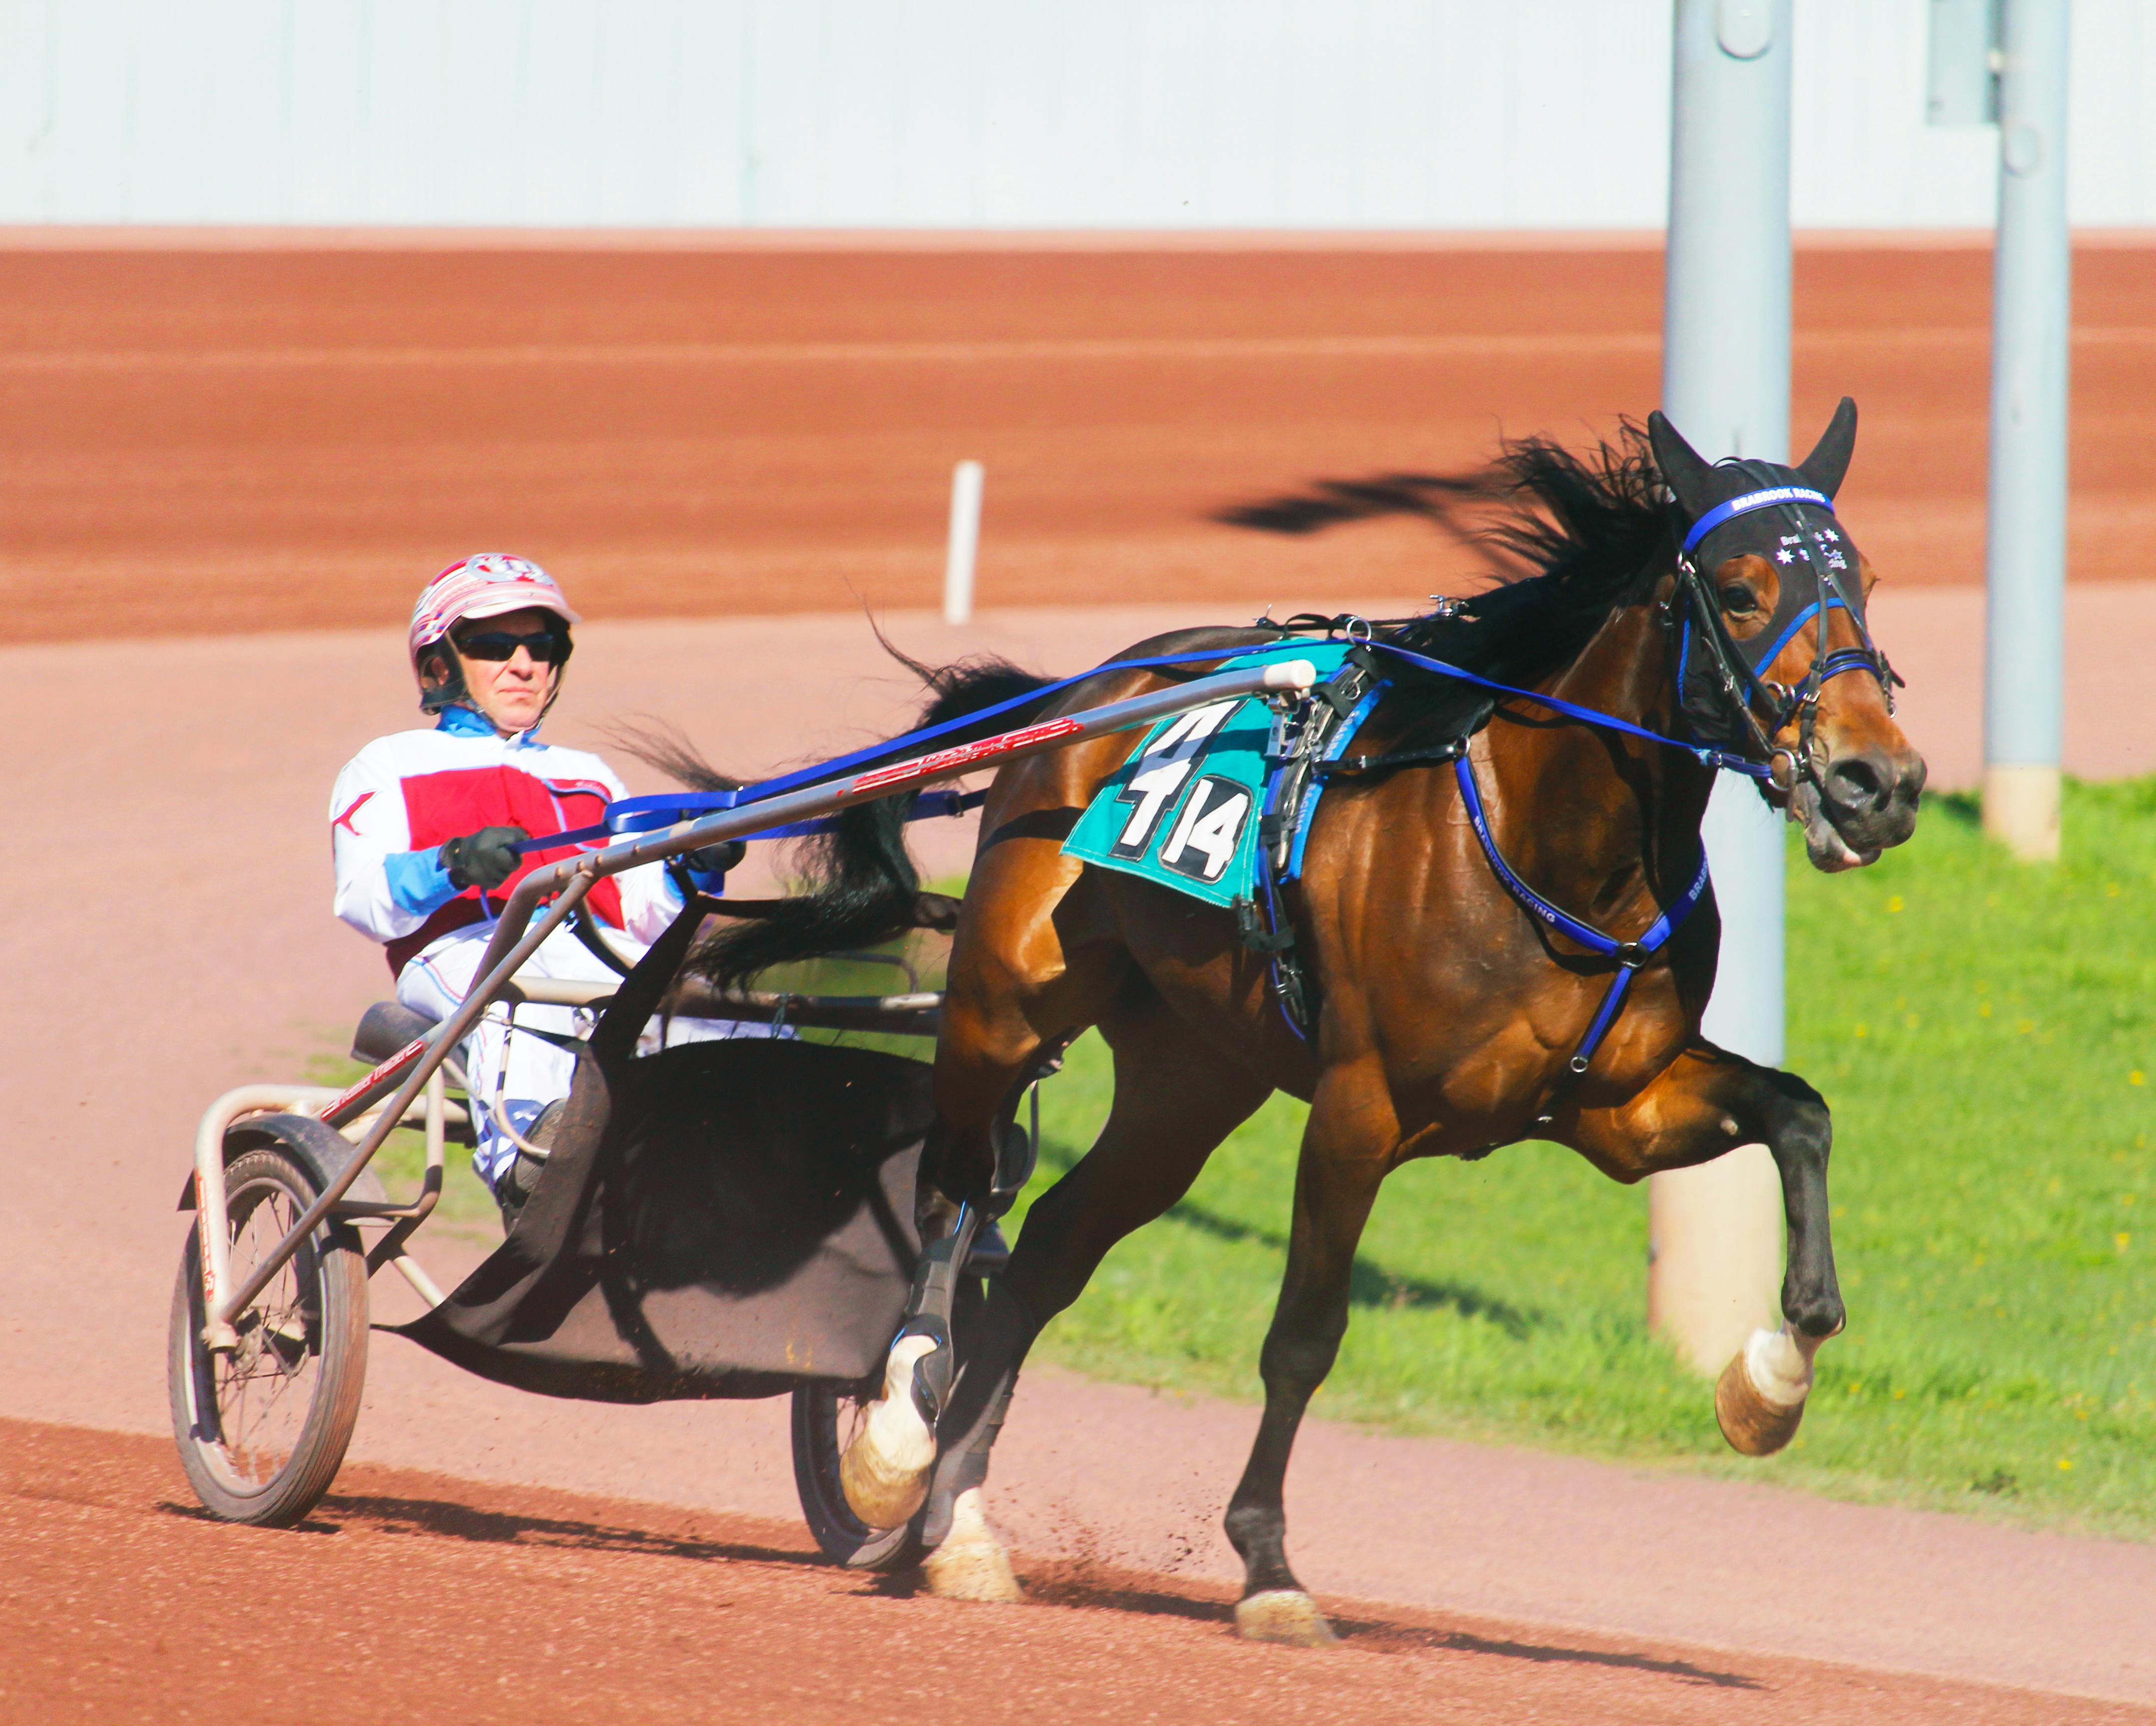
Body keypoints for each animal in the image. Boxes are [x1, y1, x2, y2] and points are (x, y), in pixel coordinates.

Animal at [659, 401, 1925, 1641]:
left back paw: (960, 1525)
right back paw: (895, 1437)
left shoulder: (1617, 1104)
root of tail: (1078, 695)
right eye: (1740, 587)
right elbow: (1303, 1334)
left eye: (1861, 576)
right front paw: (1267, 1564)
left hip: (1187, 1077)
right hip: (1001, 1004)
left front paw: (1771, 1377)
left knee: (1046, 1250)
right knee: (951, 1199)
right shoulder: (1358, 1109)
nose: (1875, 781)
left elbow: (1798, 1115)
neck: (1552, 842)